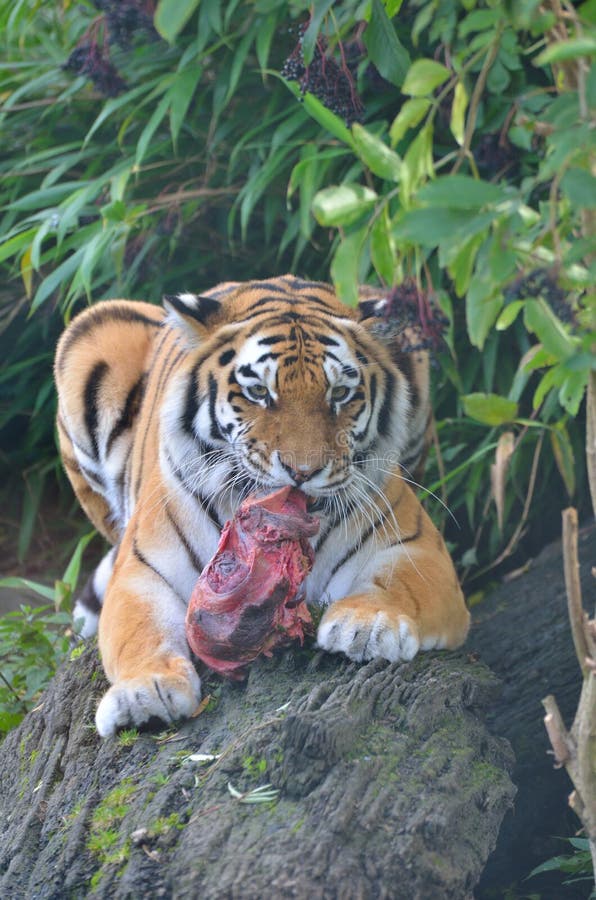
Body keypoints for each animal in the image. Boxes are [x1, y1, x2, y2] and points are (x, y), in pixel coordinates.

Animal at [54, 275, 470, 738]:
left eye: (341, 394)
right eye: (258, 392)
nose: (303, 471)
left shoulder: (418, 546)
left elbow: (399, 584)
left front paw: (369, 624)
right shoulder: (142, 570)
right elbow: (139, 631)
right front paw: (146, 692)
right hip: (91, 329)